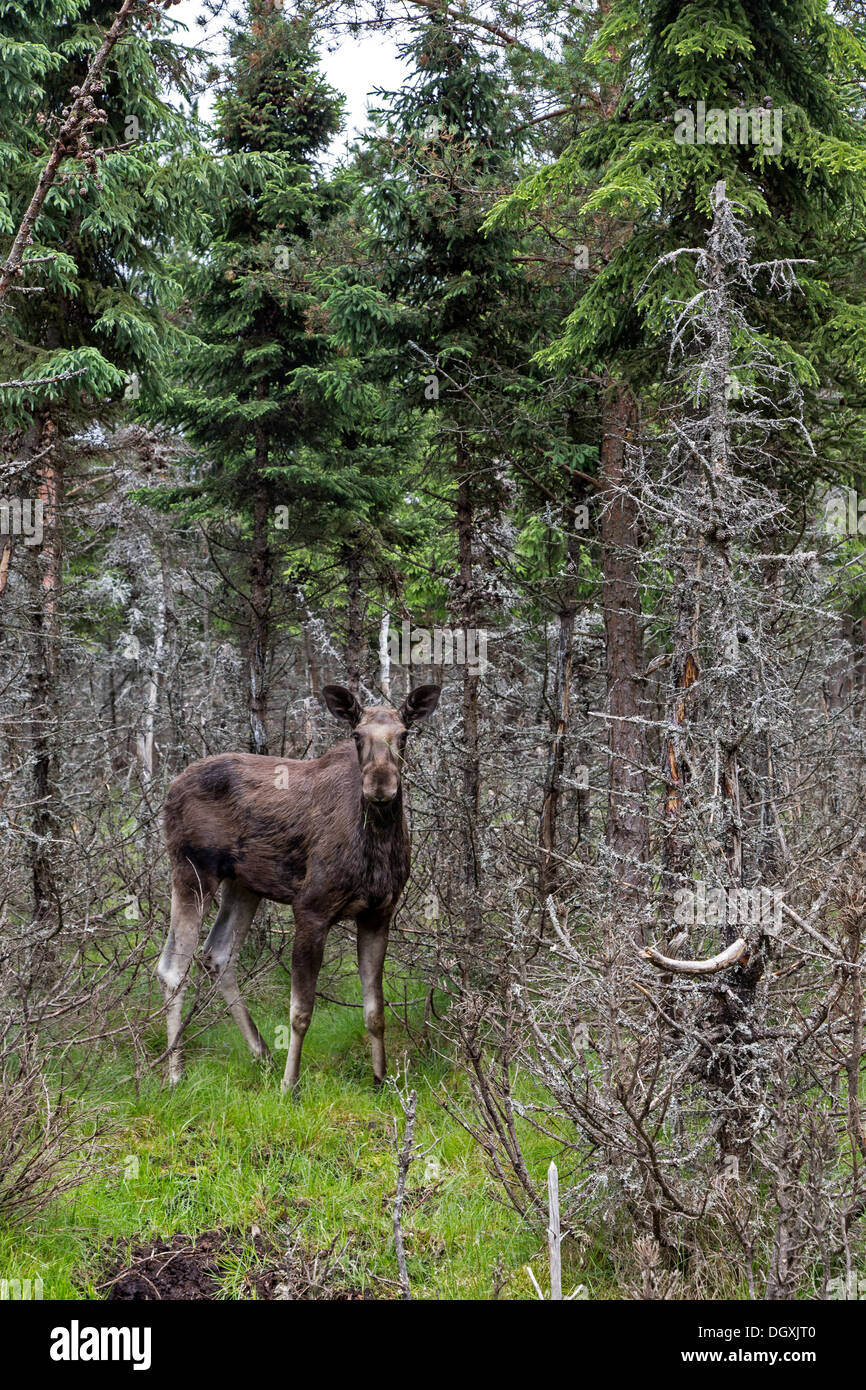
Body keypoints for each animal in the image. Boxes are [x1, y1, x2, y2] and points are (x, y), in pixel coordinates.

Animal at [157, 683, 441, 1093]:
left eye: (404, 734)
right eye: (357, 735)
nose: (380, 787)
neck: (376, 842)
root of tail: (169, 788)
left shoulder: (378, 914)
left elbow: (375, 1010)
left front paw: (379, 1078)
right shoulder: (310, 909)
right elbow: (300, 1011)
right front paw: (290, 1085)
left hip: (244, 885)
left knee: (217, 955)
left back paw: (262, 1054)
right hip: (191, 871)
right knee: (172, 967)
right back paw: (176, 1071)